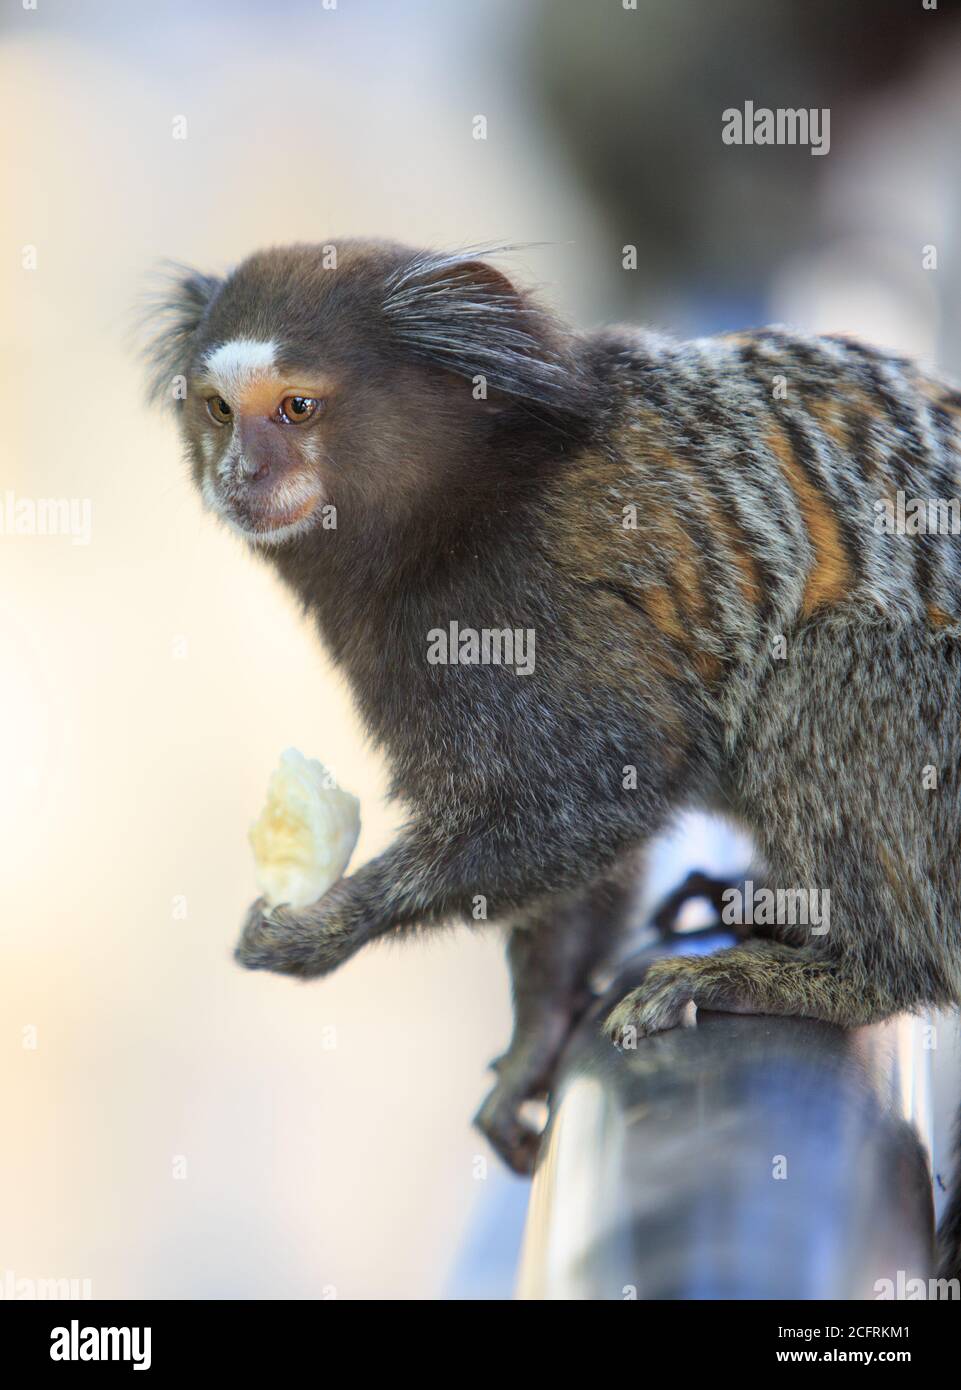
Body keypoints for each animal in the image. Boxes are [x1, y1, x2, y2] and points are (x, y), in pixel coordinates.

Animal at [144, 240, 961, 1274]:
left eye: (295, 407)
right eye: (217, 408)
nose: (241, 469)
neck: (461, 499)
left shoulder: (528, 610)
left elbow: (606, 778)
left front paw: (330, 924)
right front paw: (535, 1039)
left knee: (823, 671)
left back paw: (844, 974)